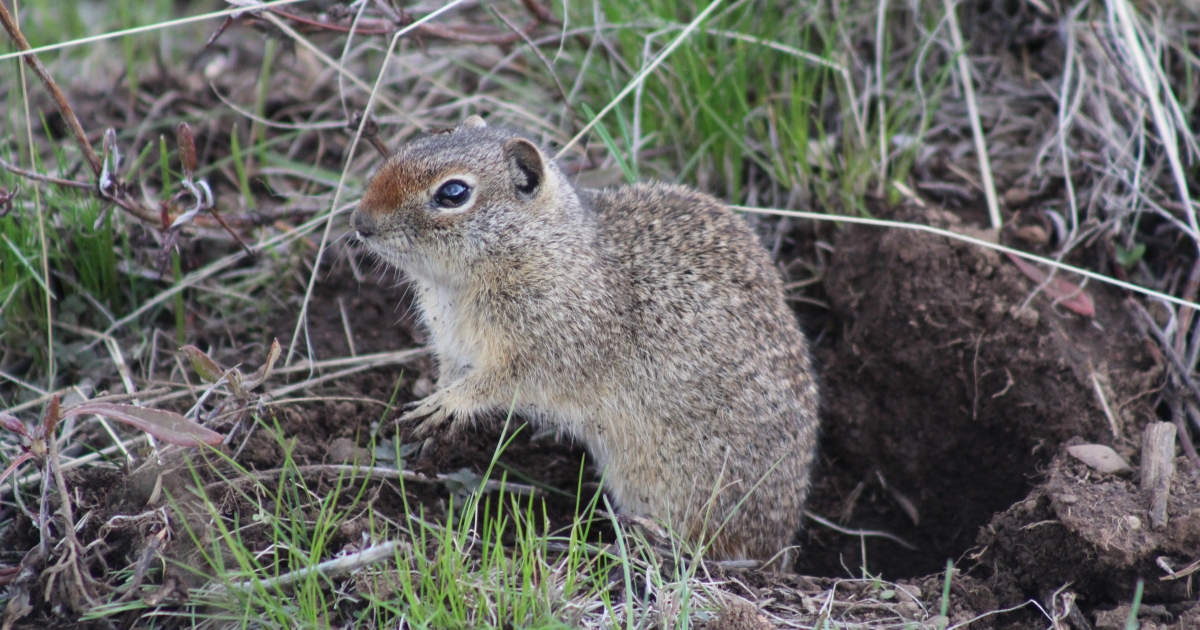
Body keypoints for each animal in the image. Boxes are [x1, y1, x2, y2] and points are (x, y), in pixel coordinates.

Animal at [351, 116, 819, 563]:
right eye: (416, 143)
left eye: (453, 193)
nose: (360, 223)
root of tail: (779, 547)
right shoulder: (452, 347)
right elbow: (451, 374)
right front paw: (431, 412)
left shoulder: (548, 350)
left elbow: (497, 383)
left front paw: (448, 403)